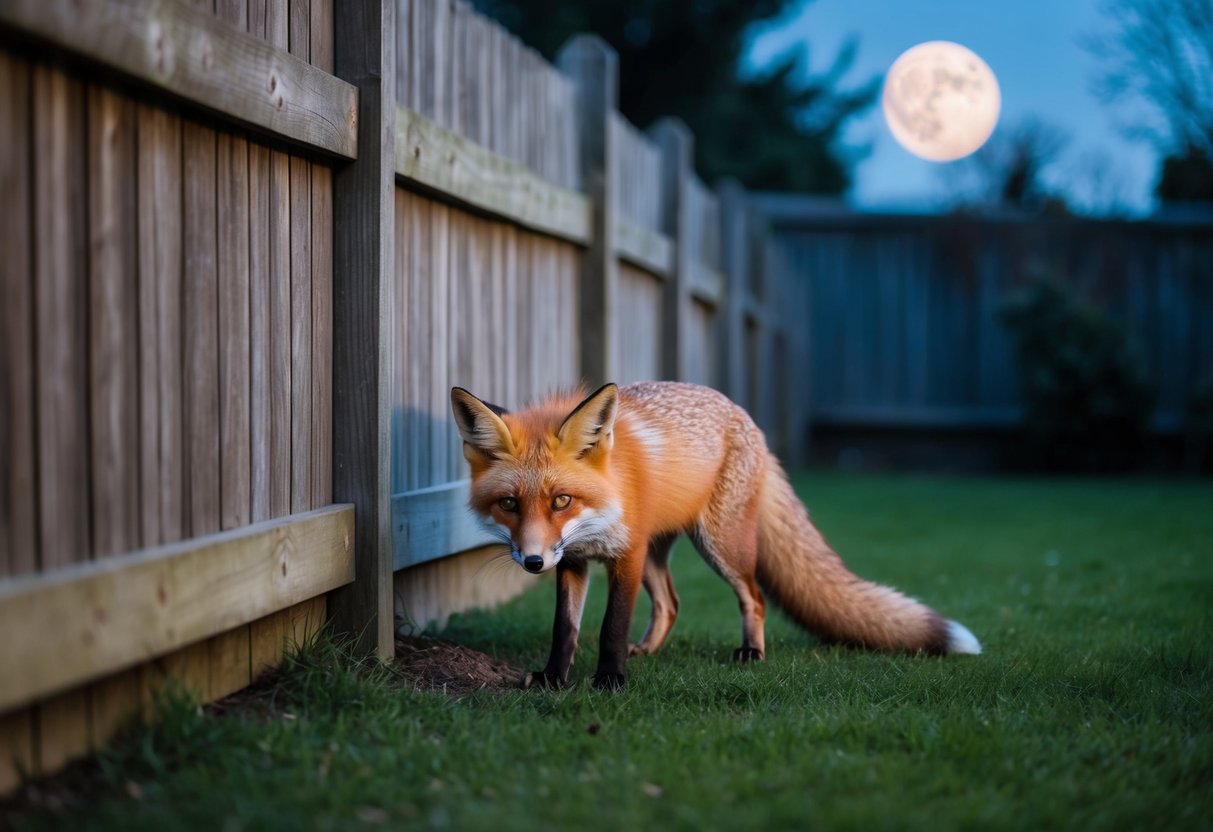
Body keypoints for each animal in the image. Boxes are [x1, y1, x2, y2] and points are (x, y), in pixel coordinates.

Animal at [450, 381, 981, 691]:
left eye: (561, 500)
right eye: (510, 504)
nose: (534, 562)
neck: (612, 488)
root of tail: (744, 415)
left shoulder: (625, 554)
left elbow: (610, 627)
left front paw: (611, 679)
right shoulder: (576, 560)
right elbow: (565, 629)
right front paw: (553, 678)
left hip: (720, 546)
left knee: (754, 597)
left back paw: (752, 652)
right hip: (661, 553)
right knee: (671, 603)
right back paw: (650, 650)